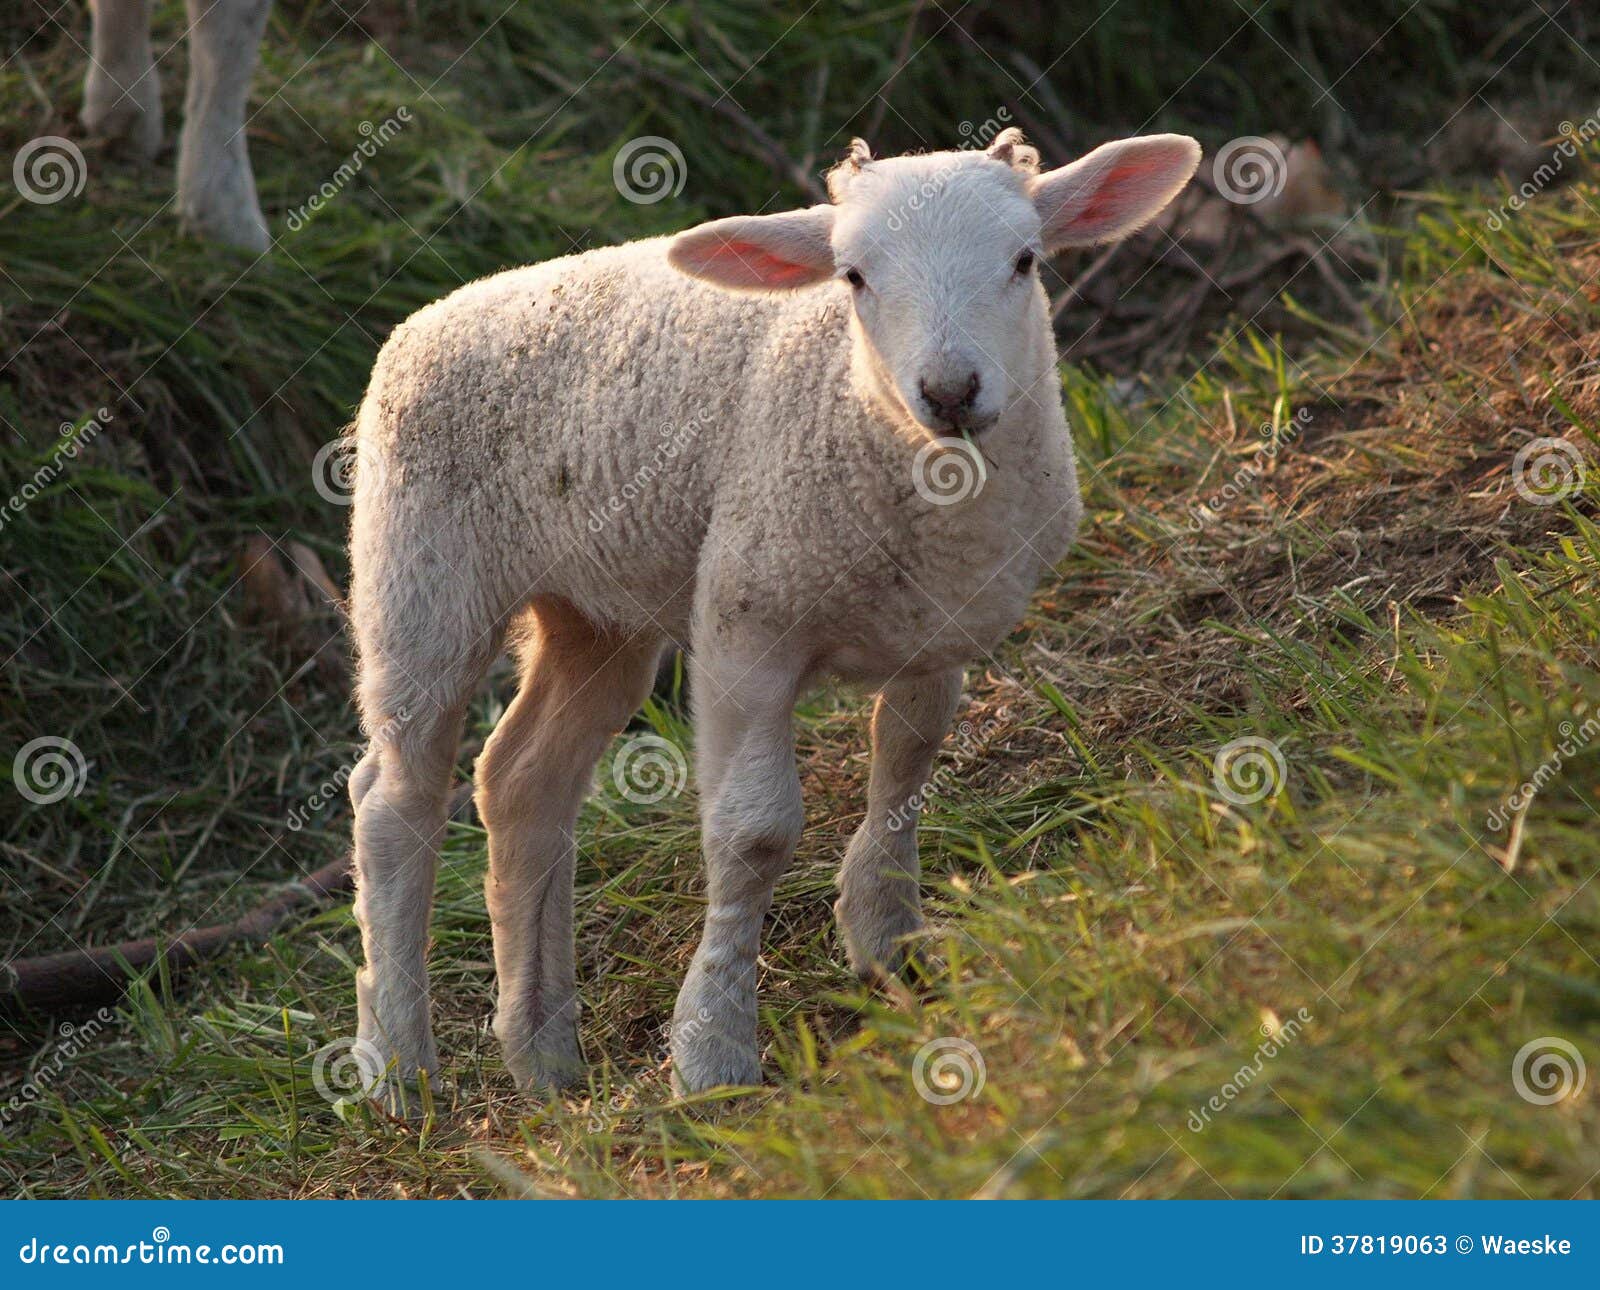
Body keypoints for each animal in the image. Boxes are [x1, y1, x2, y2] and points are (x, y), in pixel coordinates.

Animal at [345, 127, 1200, 1107]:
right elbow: (752, 835)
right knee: (395, 801)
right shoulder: (744, 626)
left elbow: (907, 765)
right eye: (854, 276)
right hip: (420, 574)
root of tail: (427, 319)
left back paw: (543, 1054)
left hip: (594, 612)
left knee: (523, 783)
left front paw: (889, 940)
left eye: (1025, 261)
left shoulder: (936, 625)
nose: (950, 392)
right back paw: (396, 1066)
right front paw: (713, 1049)